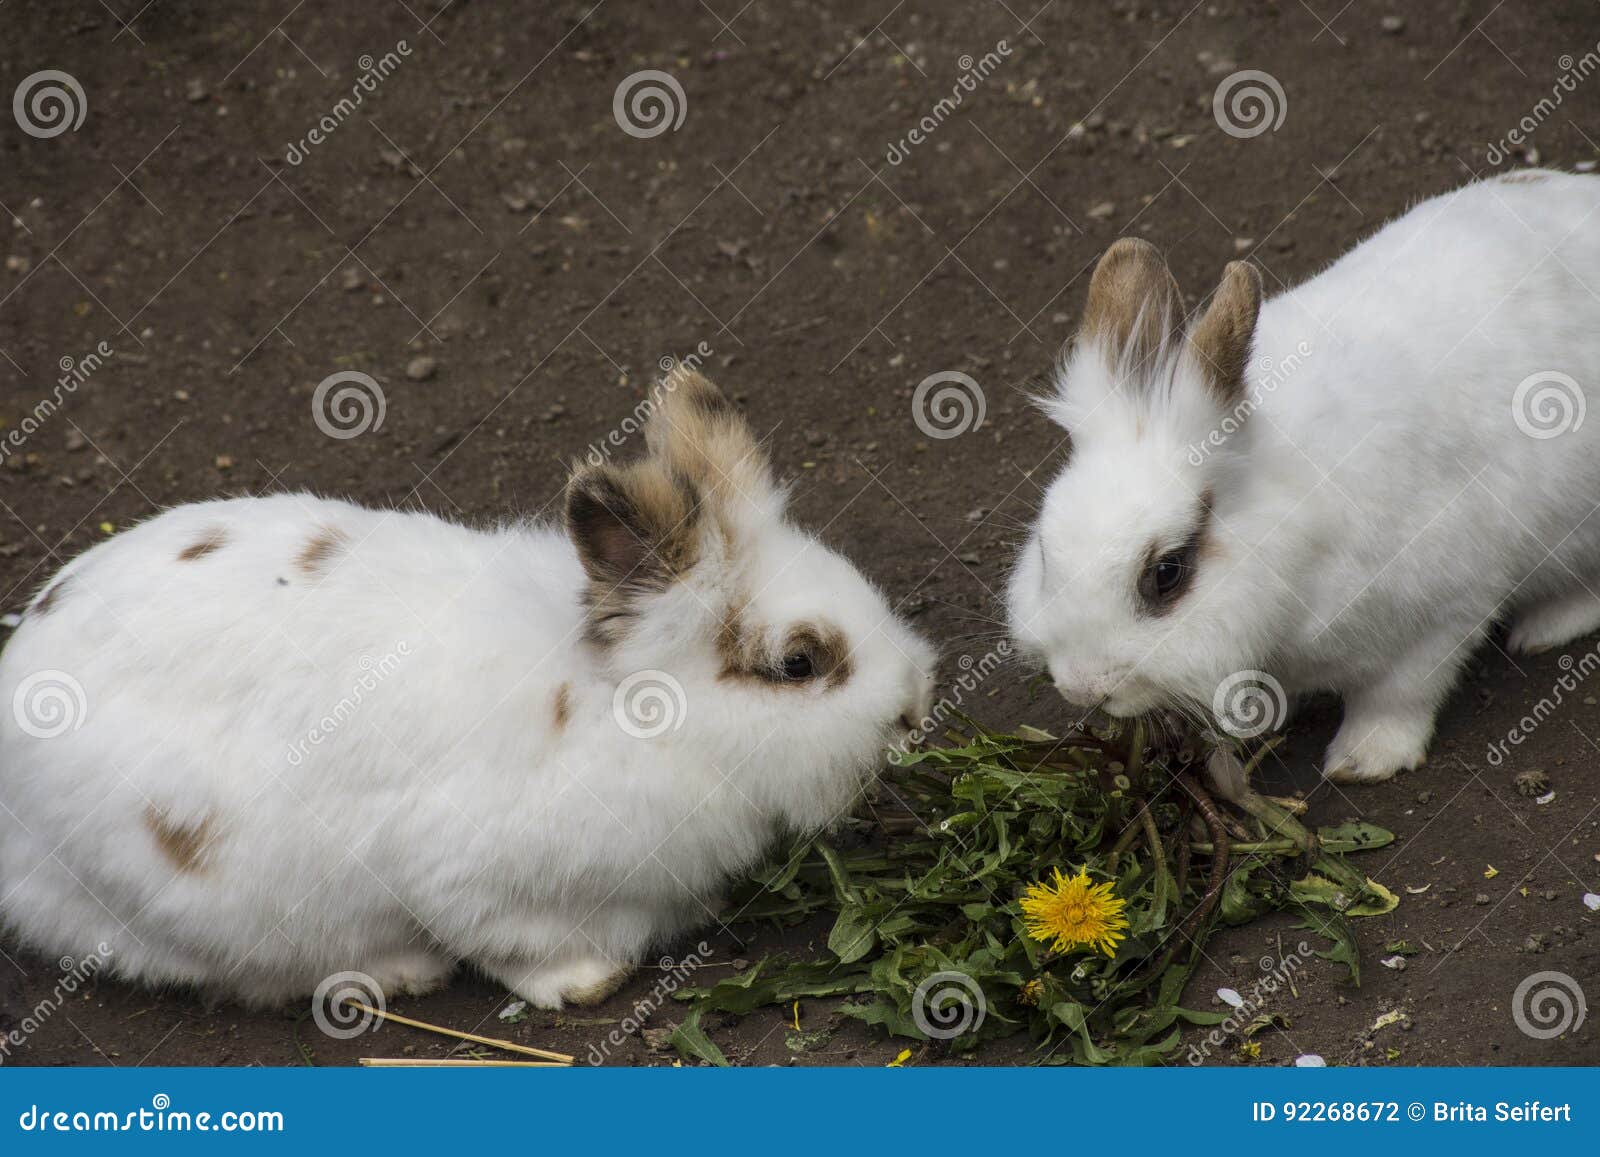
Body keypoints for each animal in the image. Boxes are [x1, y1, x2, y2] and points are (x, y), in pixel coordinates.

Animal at [0, 369, 936, 1009]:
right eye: (800, 663)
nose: (913, 708)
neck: (623, 711)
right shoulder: (469, 877)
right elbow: (513, 943)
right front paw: (587, 982)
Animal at [1007, 170, 1600, 784]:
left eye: (1168, 573)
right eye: (1045, 553)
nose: (1080, 686)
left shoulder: (1446, 612)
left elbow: (1399, 696)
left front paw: (1362, 762)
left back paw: (1543, 630)